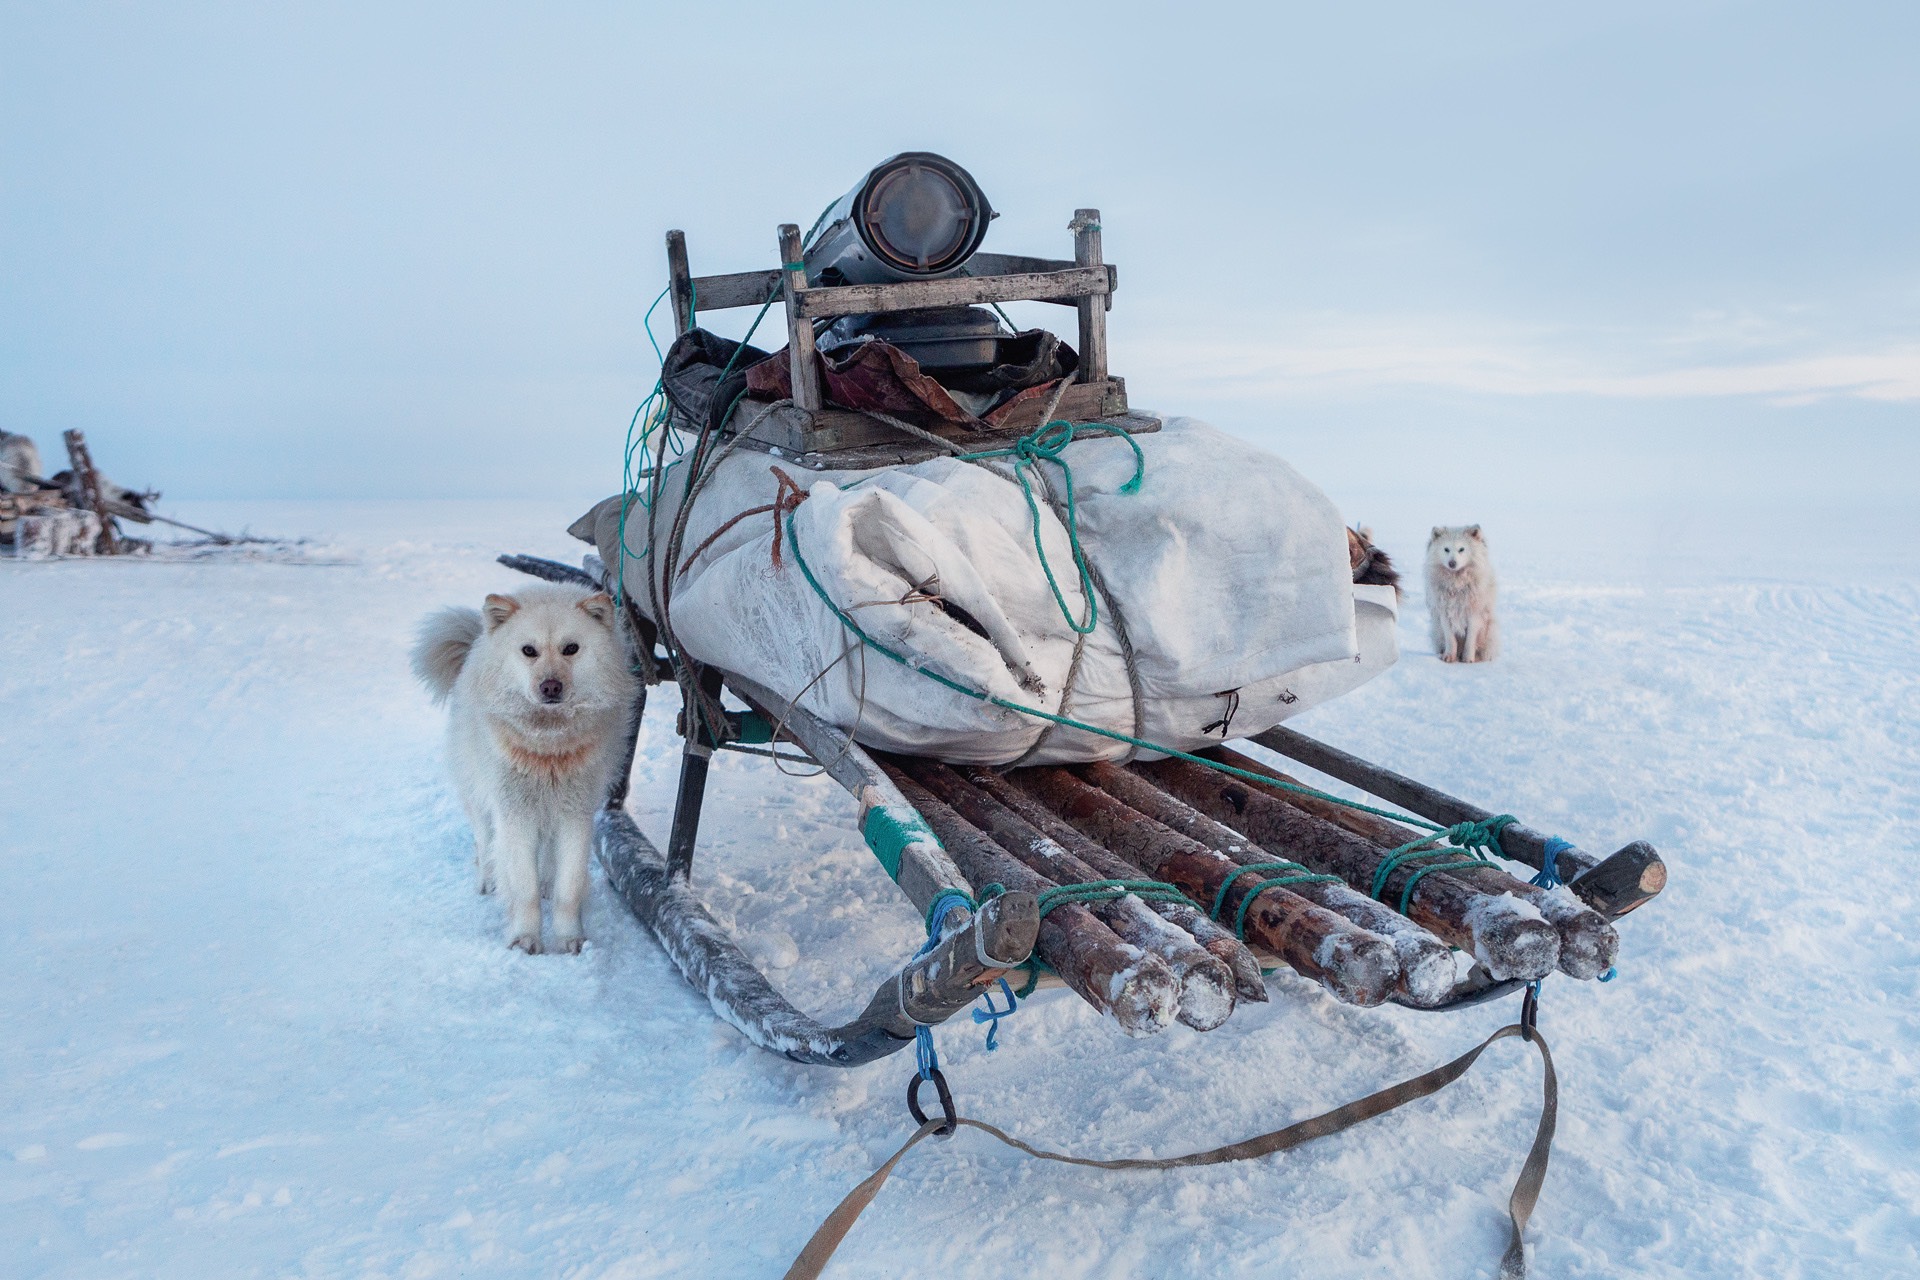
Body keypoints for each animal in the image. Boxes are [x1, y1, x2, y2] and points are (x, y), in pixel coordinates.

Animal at [412, 587, 637, 955]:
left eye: (571, 648)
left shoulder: (575, 814)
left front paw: (569, 939)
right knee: (485, 843)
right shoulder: (514, 813)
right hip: (480, 799)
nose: (551, 686)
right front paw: (525, 939)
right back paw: (488, 880)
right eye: (529, 651)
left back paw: (546, 880)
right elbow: (523, 887)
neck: (548, 745)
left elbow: (568, 886)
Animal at [1428, 529, 1497, 667]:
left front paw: (1468, 659)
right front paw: (1449, 656)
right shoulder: (1444, 614)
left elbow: (1470, 639)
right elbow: (1450, 639)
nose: (1452, 563)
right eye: (1446, 549)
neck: (1456, 583)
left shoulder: (1474, 615)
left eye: (1461, 549)